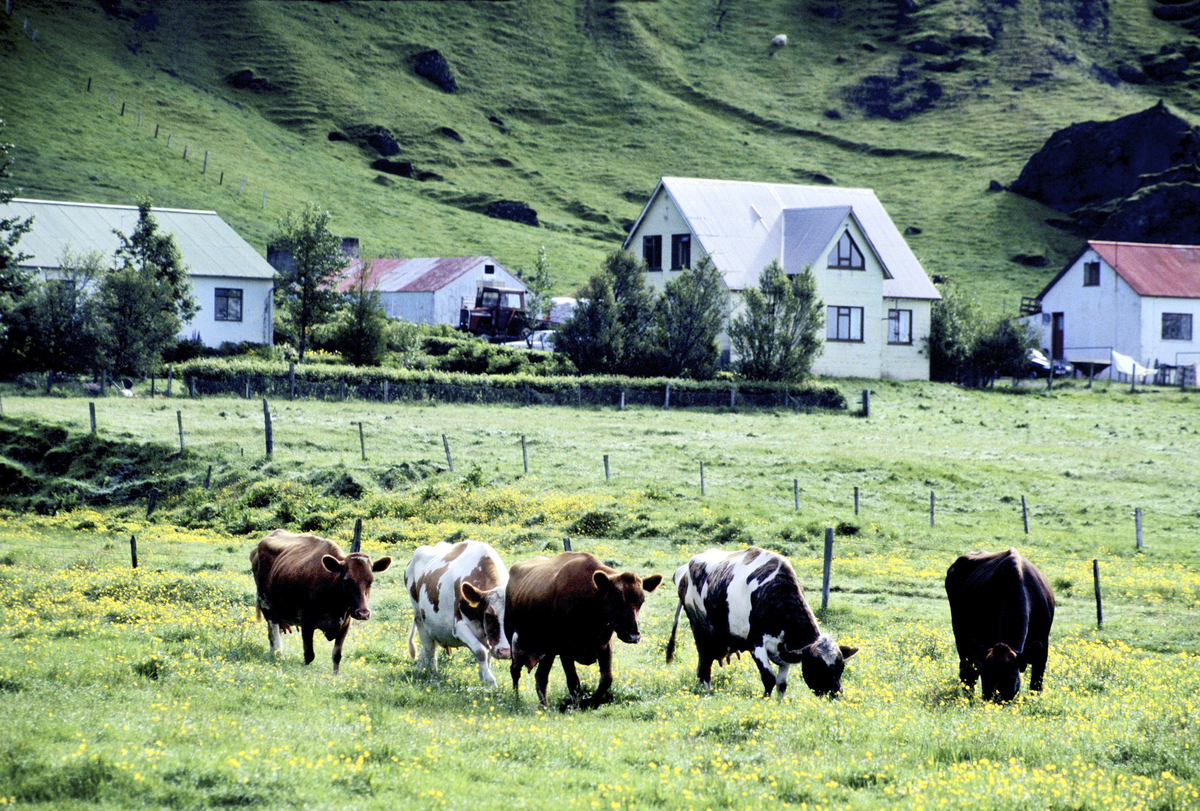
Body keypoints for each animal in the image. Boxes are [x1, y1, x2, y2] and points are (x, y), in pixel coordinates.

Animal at [249, 529, 391, 674]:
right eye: (347, 580)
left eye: (371, 581)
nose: (363, 613)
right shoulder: (307, 622)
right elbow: (309, 655)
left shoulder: (345, 624)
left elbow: (337, 655)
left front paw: (336, 676)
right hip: (266, 604)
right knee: (273, 632)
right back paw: (278, 656)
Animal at [405, 540, 511, 686]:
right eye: (488, 615)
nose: (505, 651)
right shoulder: (459, 627)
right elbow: (481, 651)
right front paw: (490, 681)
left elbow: (487, 654)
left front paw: (484, 680)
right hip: (419, 617)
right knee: (428, 646)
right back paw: (431, 671)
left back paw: (420, 667)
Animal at [504, 551, 663, 709]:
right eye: (616, 600)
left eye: (641, 601)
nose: (633, 635)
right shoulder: (565, 649)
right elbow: (573, 682)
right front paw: (575, 708)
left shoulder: (605, 646)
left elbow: (606, 679)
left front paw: (590, 702)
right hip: (513, 639)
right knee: (515, 670)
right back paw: (517, 699)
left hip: (547, 650)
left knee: (540, 677)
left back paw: (545, 708)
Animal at [666, 547, 857, 698]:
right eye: (818, 667)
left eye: (841, 667)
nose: (836, 693)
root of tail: (683, 570)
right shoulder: (755, 643)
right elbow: (769, 678)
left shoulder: (785, 651)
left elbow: (781, 683)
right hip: (700, 631)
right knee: (704, 666)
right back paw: (706, 691)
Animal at [945, 547, 1055, 702]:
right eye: (986, 676)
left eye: (1011, 679)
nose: (996, 698)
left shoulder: (1042, 642)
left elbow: (1036, 681)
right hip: (960, 632)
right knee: (966, 668)